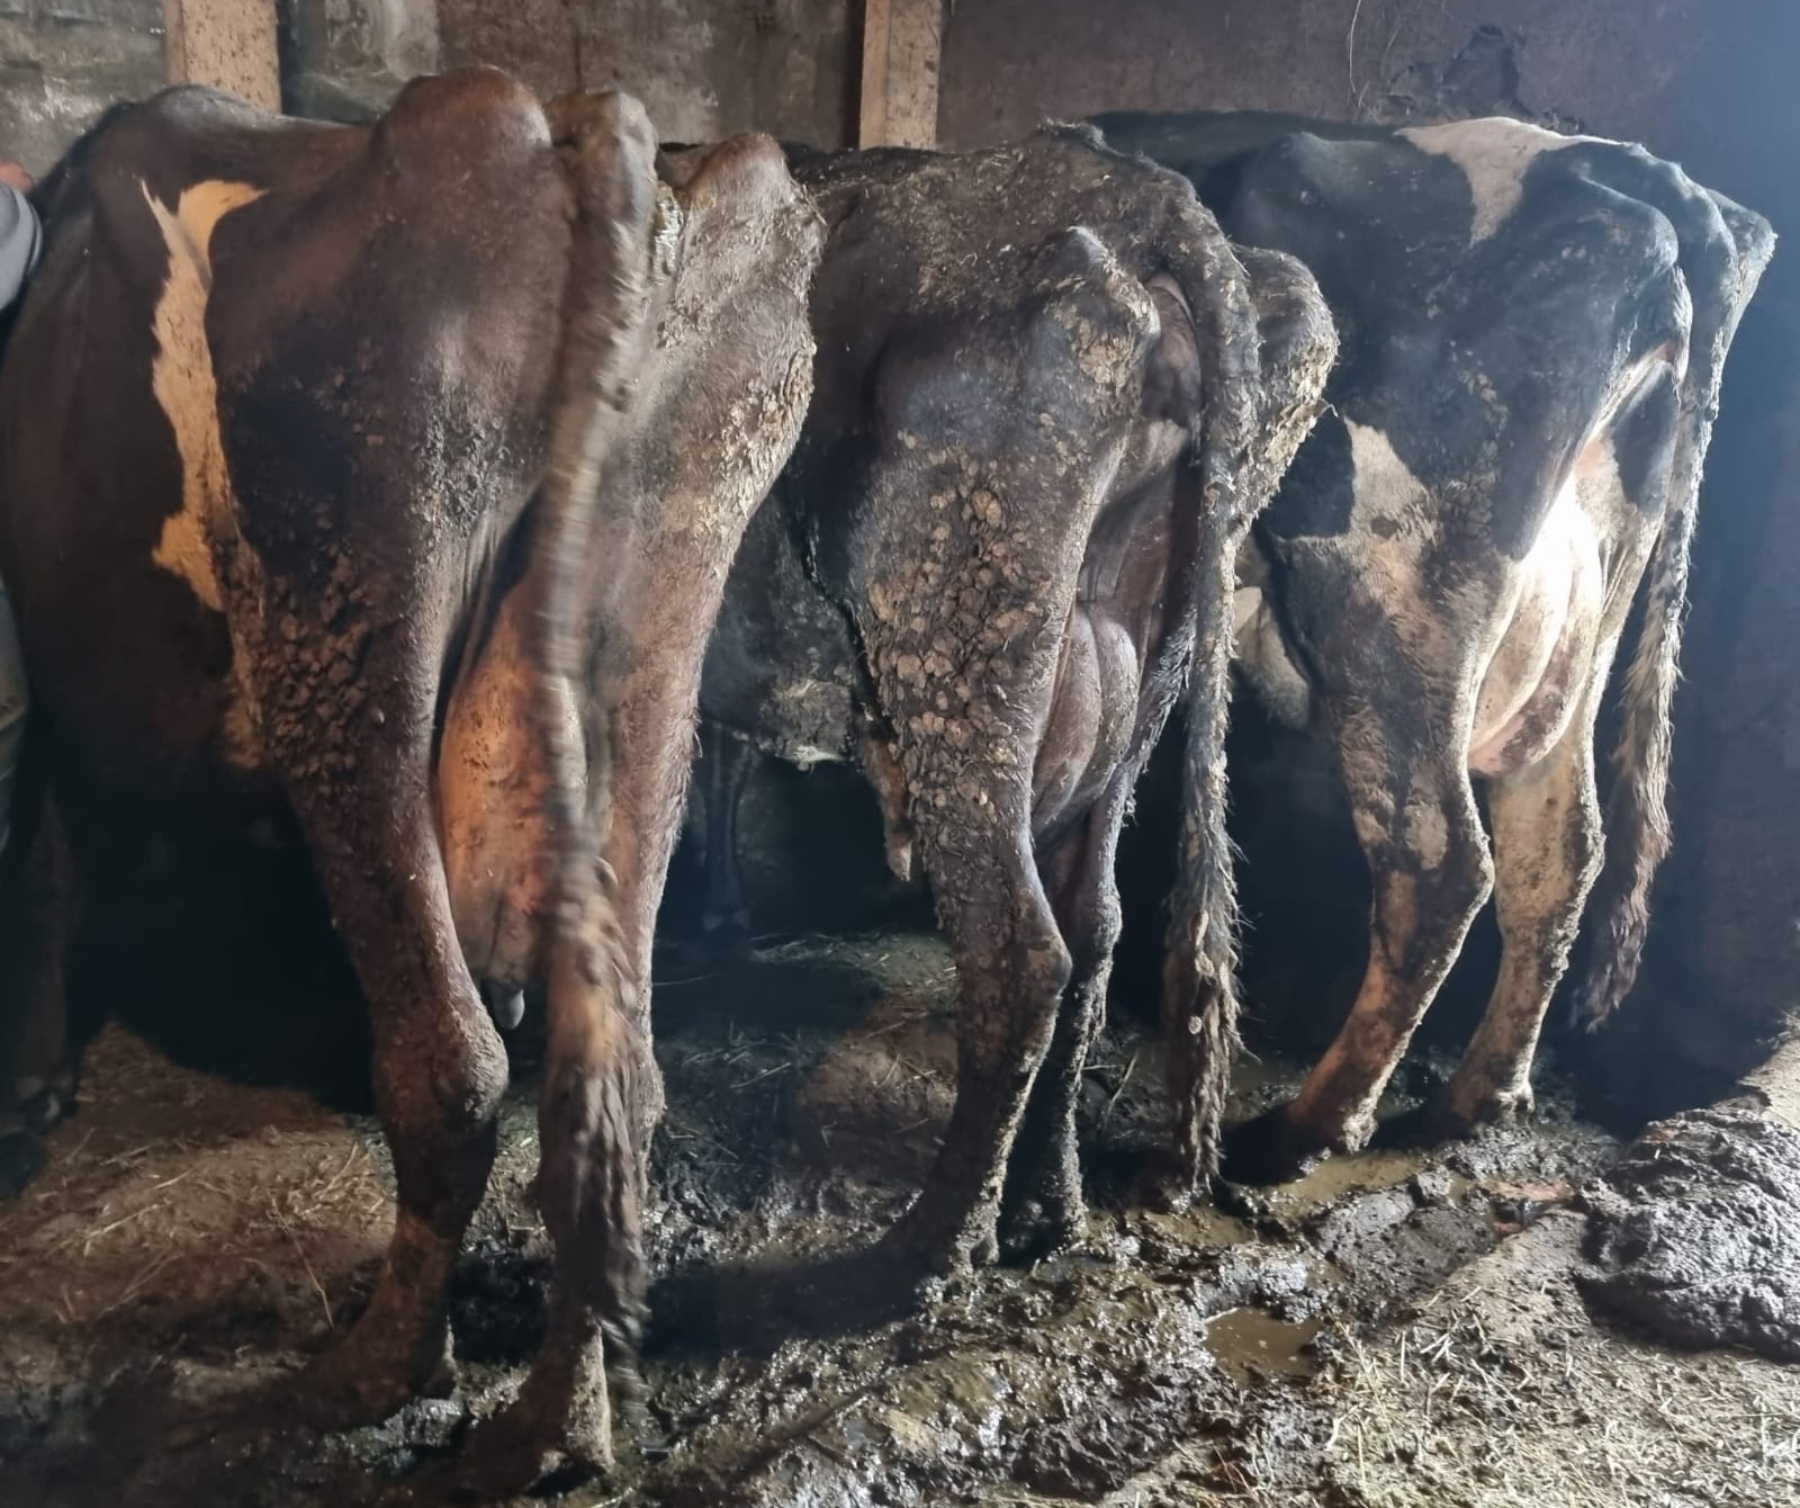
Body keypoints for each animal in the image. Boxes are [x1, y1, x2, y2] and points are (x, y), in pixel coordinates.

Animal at [0, 69, 820, 1490]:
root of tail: (572, 132)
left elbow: (44, 852)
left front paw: (35, 1075)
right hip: (669, 586)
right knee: (613, 1067)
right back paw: (566, 1416)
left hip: (356, 589)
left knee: (449, 1059)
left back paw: (379, 1367)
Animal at [696, 125, 1336, 1278]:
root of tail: (1149, 200)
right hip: (1133, 691)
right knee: (1098, 928)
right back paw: (1051, 1201)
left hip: (965, 655)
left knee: (1023, 952)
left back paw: (928, 1248)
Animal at [1088, 110, 1775, 1182]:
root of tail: (1633, 177)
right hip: (1573, 638)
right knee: (1561, 848)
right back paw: (1475, 1096)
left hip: (1395, 612)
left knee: (1440, 862)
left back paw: (1310, 1125)